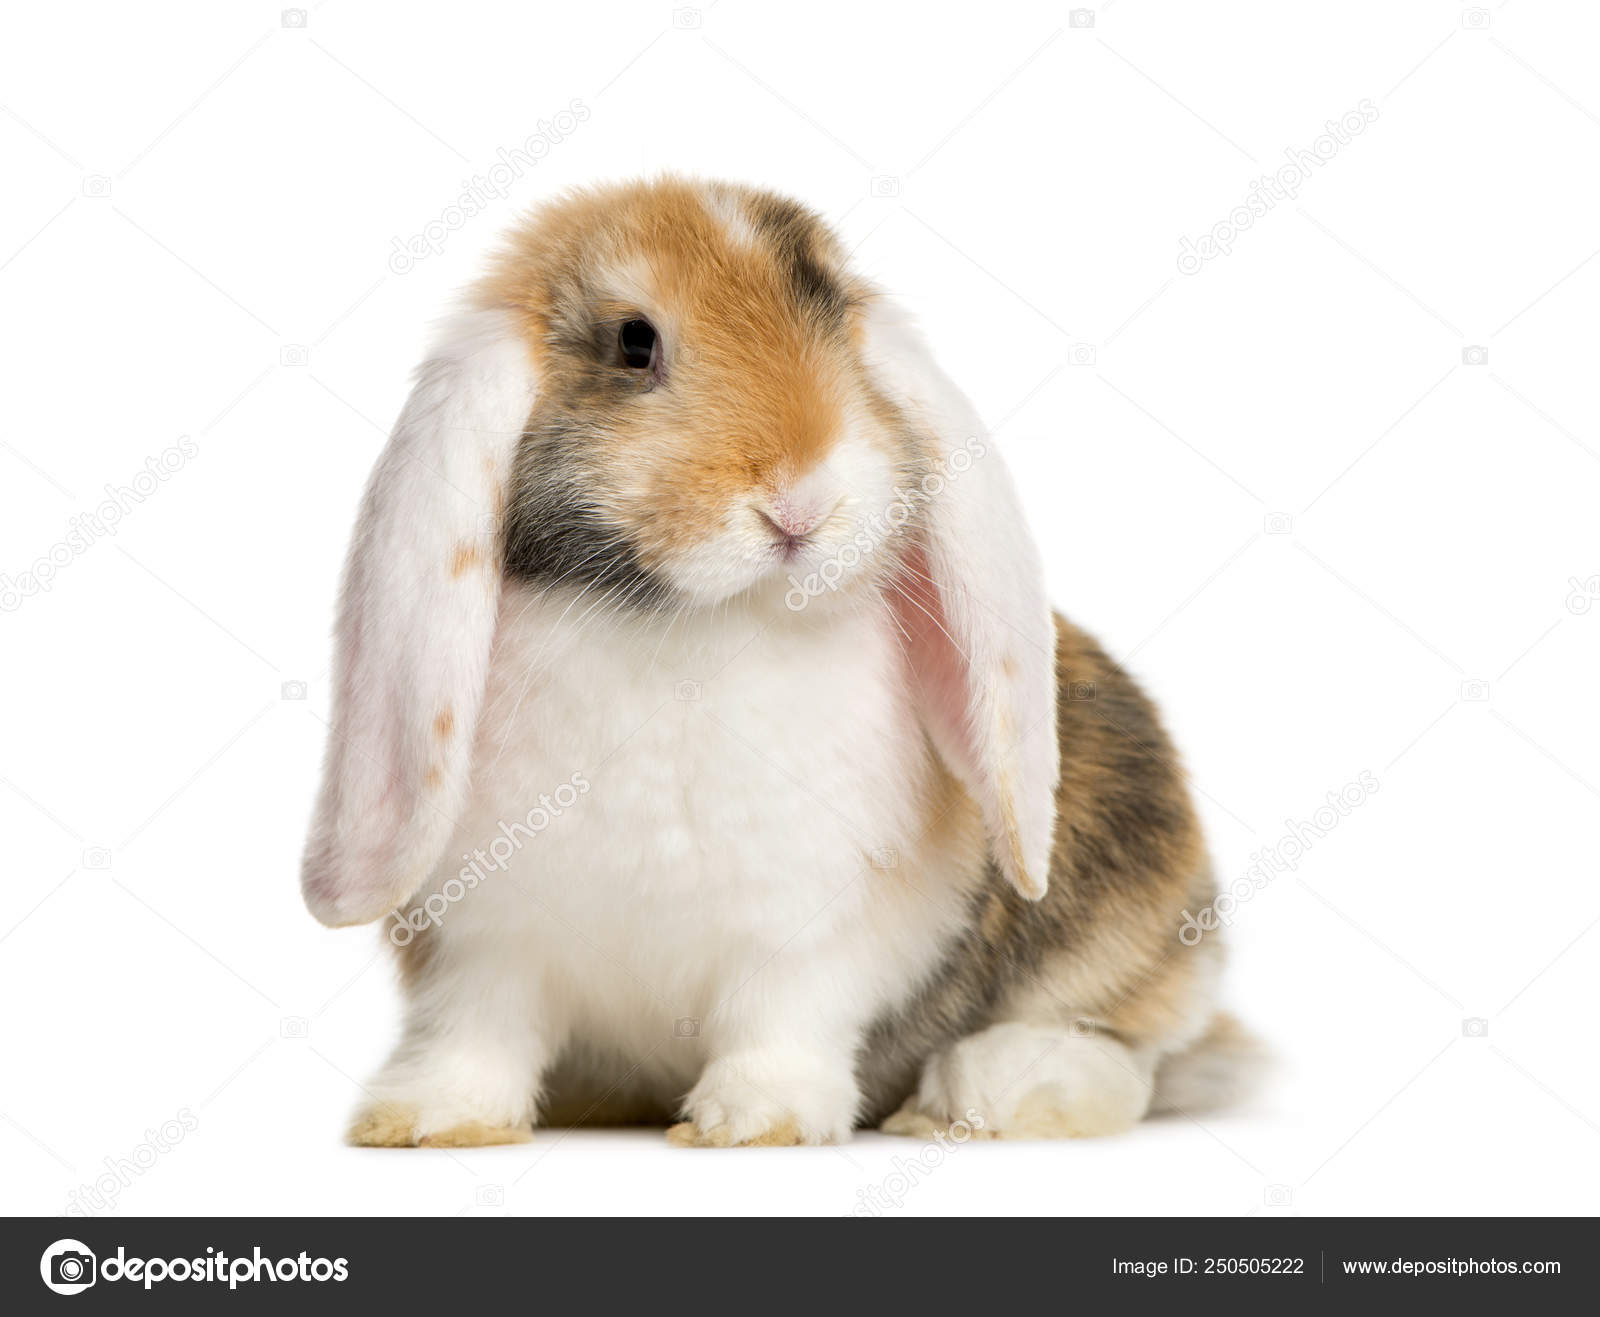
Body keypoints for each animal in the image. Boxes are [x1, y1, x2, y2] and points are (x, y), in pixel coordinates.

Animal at [301, 177, 1261, 1148]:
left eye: (836, 318)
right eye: (635, 341)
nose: (800, 499)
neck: (689, 624)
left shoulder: (813, 928)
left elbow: (784, 1016)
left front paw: (758, 1119)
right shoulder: (484, 938)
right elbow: (474, 1030)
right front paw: (427, 1118)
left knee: (1129, 1053)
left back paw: (983, 1092)